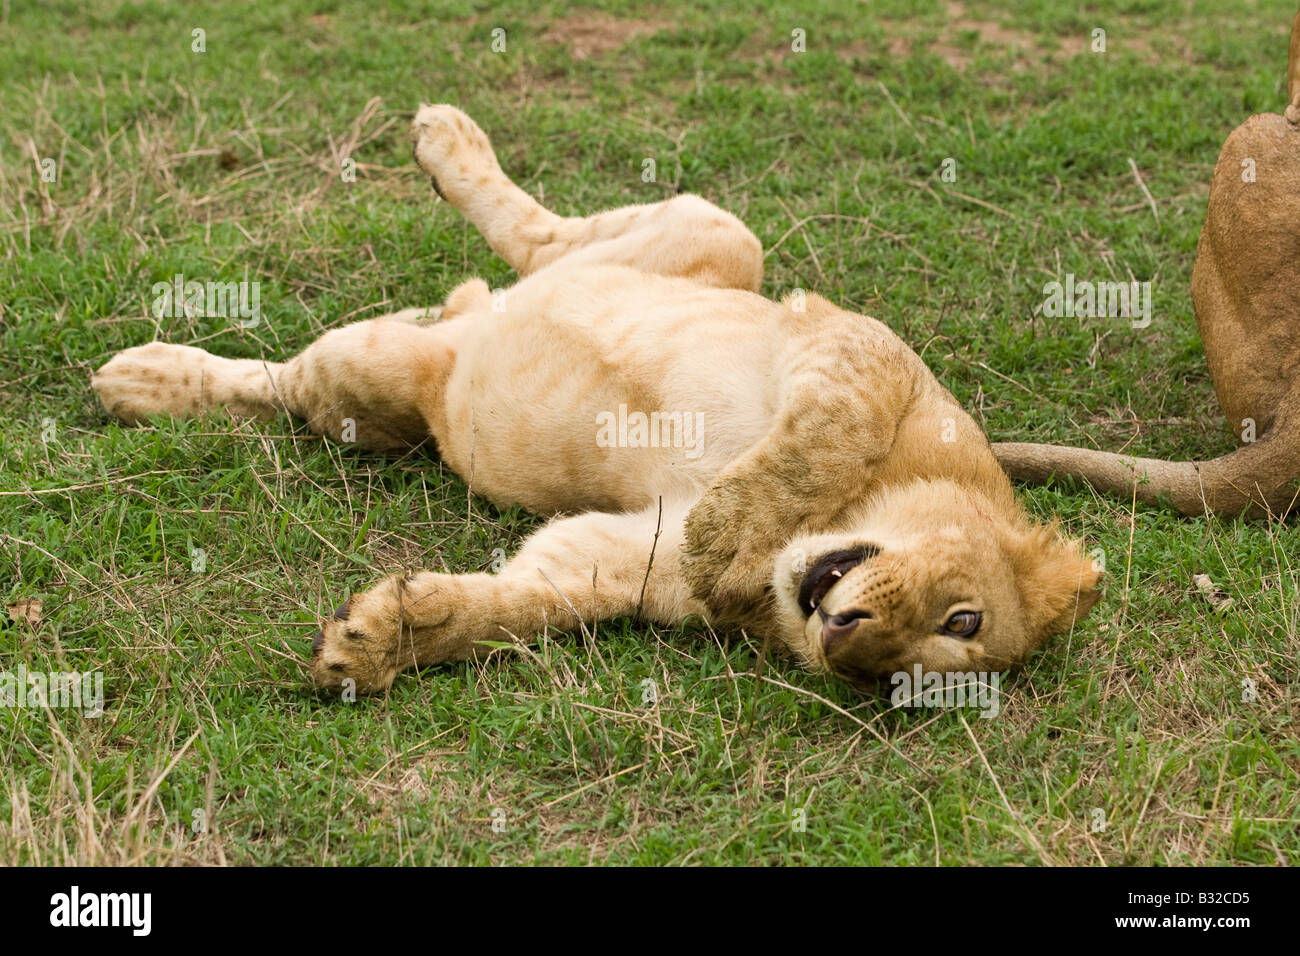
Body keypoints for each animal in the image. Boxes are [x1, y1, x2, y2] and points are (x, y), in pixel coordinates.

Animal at [91, 104, 1103, 695]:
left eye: (895, 678)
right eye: (962, 619)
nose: (844, 643)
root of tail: (460, 325)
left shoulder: (628, 556)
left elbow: (524, 603)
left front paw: (384, 639)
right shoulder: (859, 352)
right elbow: (825, 435)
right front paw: (729, 536)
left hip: (383, 392)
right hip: (719, 242)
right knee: (533, 249)